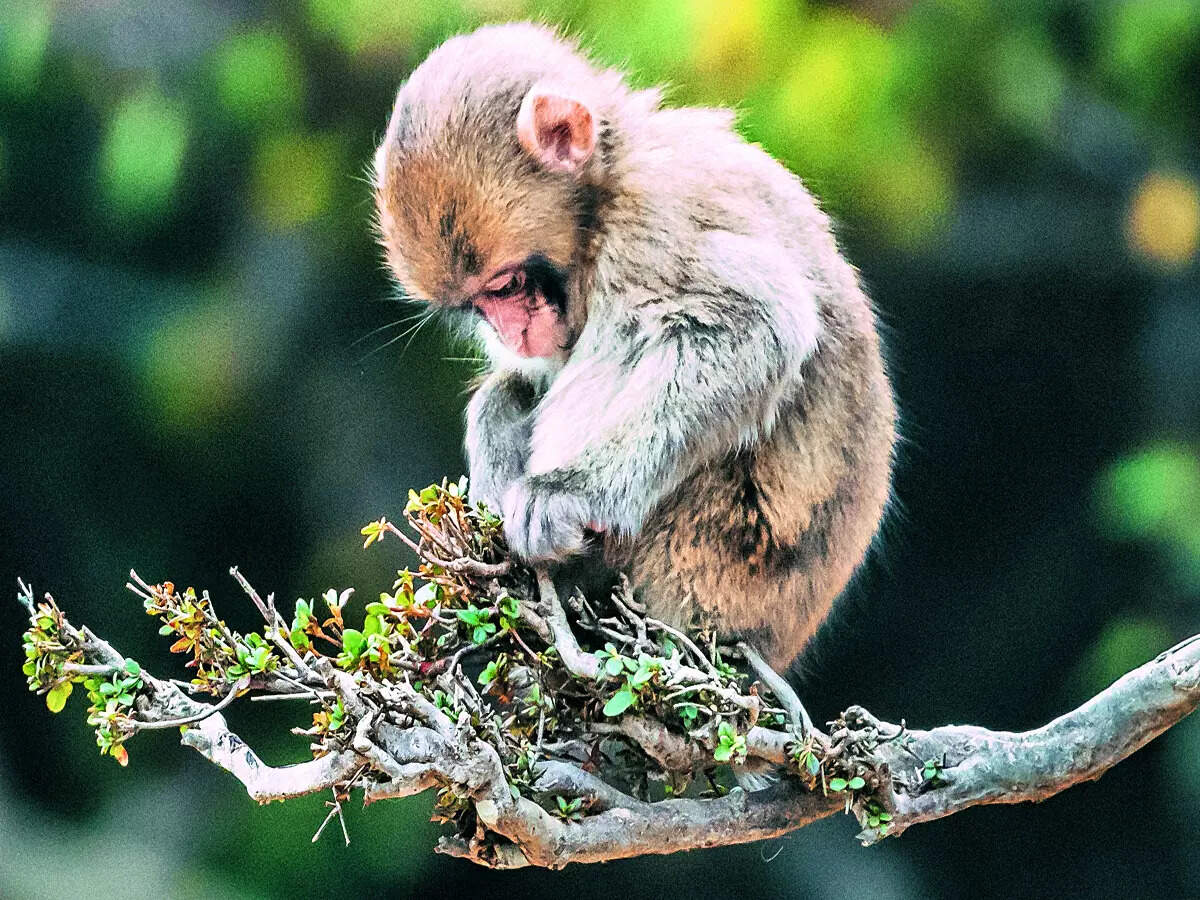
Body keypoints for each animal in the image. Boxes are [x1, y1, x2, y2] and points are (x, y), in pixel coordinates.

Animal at [371, 23, 897, 676]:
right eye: (478, 305)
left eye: (506, 285)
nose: (512, 334)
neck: (607, 189)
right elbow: (525, 381)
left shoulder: (653, 223)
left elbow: (756, 328)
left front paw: (570, 493)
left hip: (708, 559)